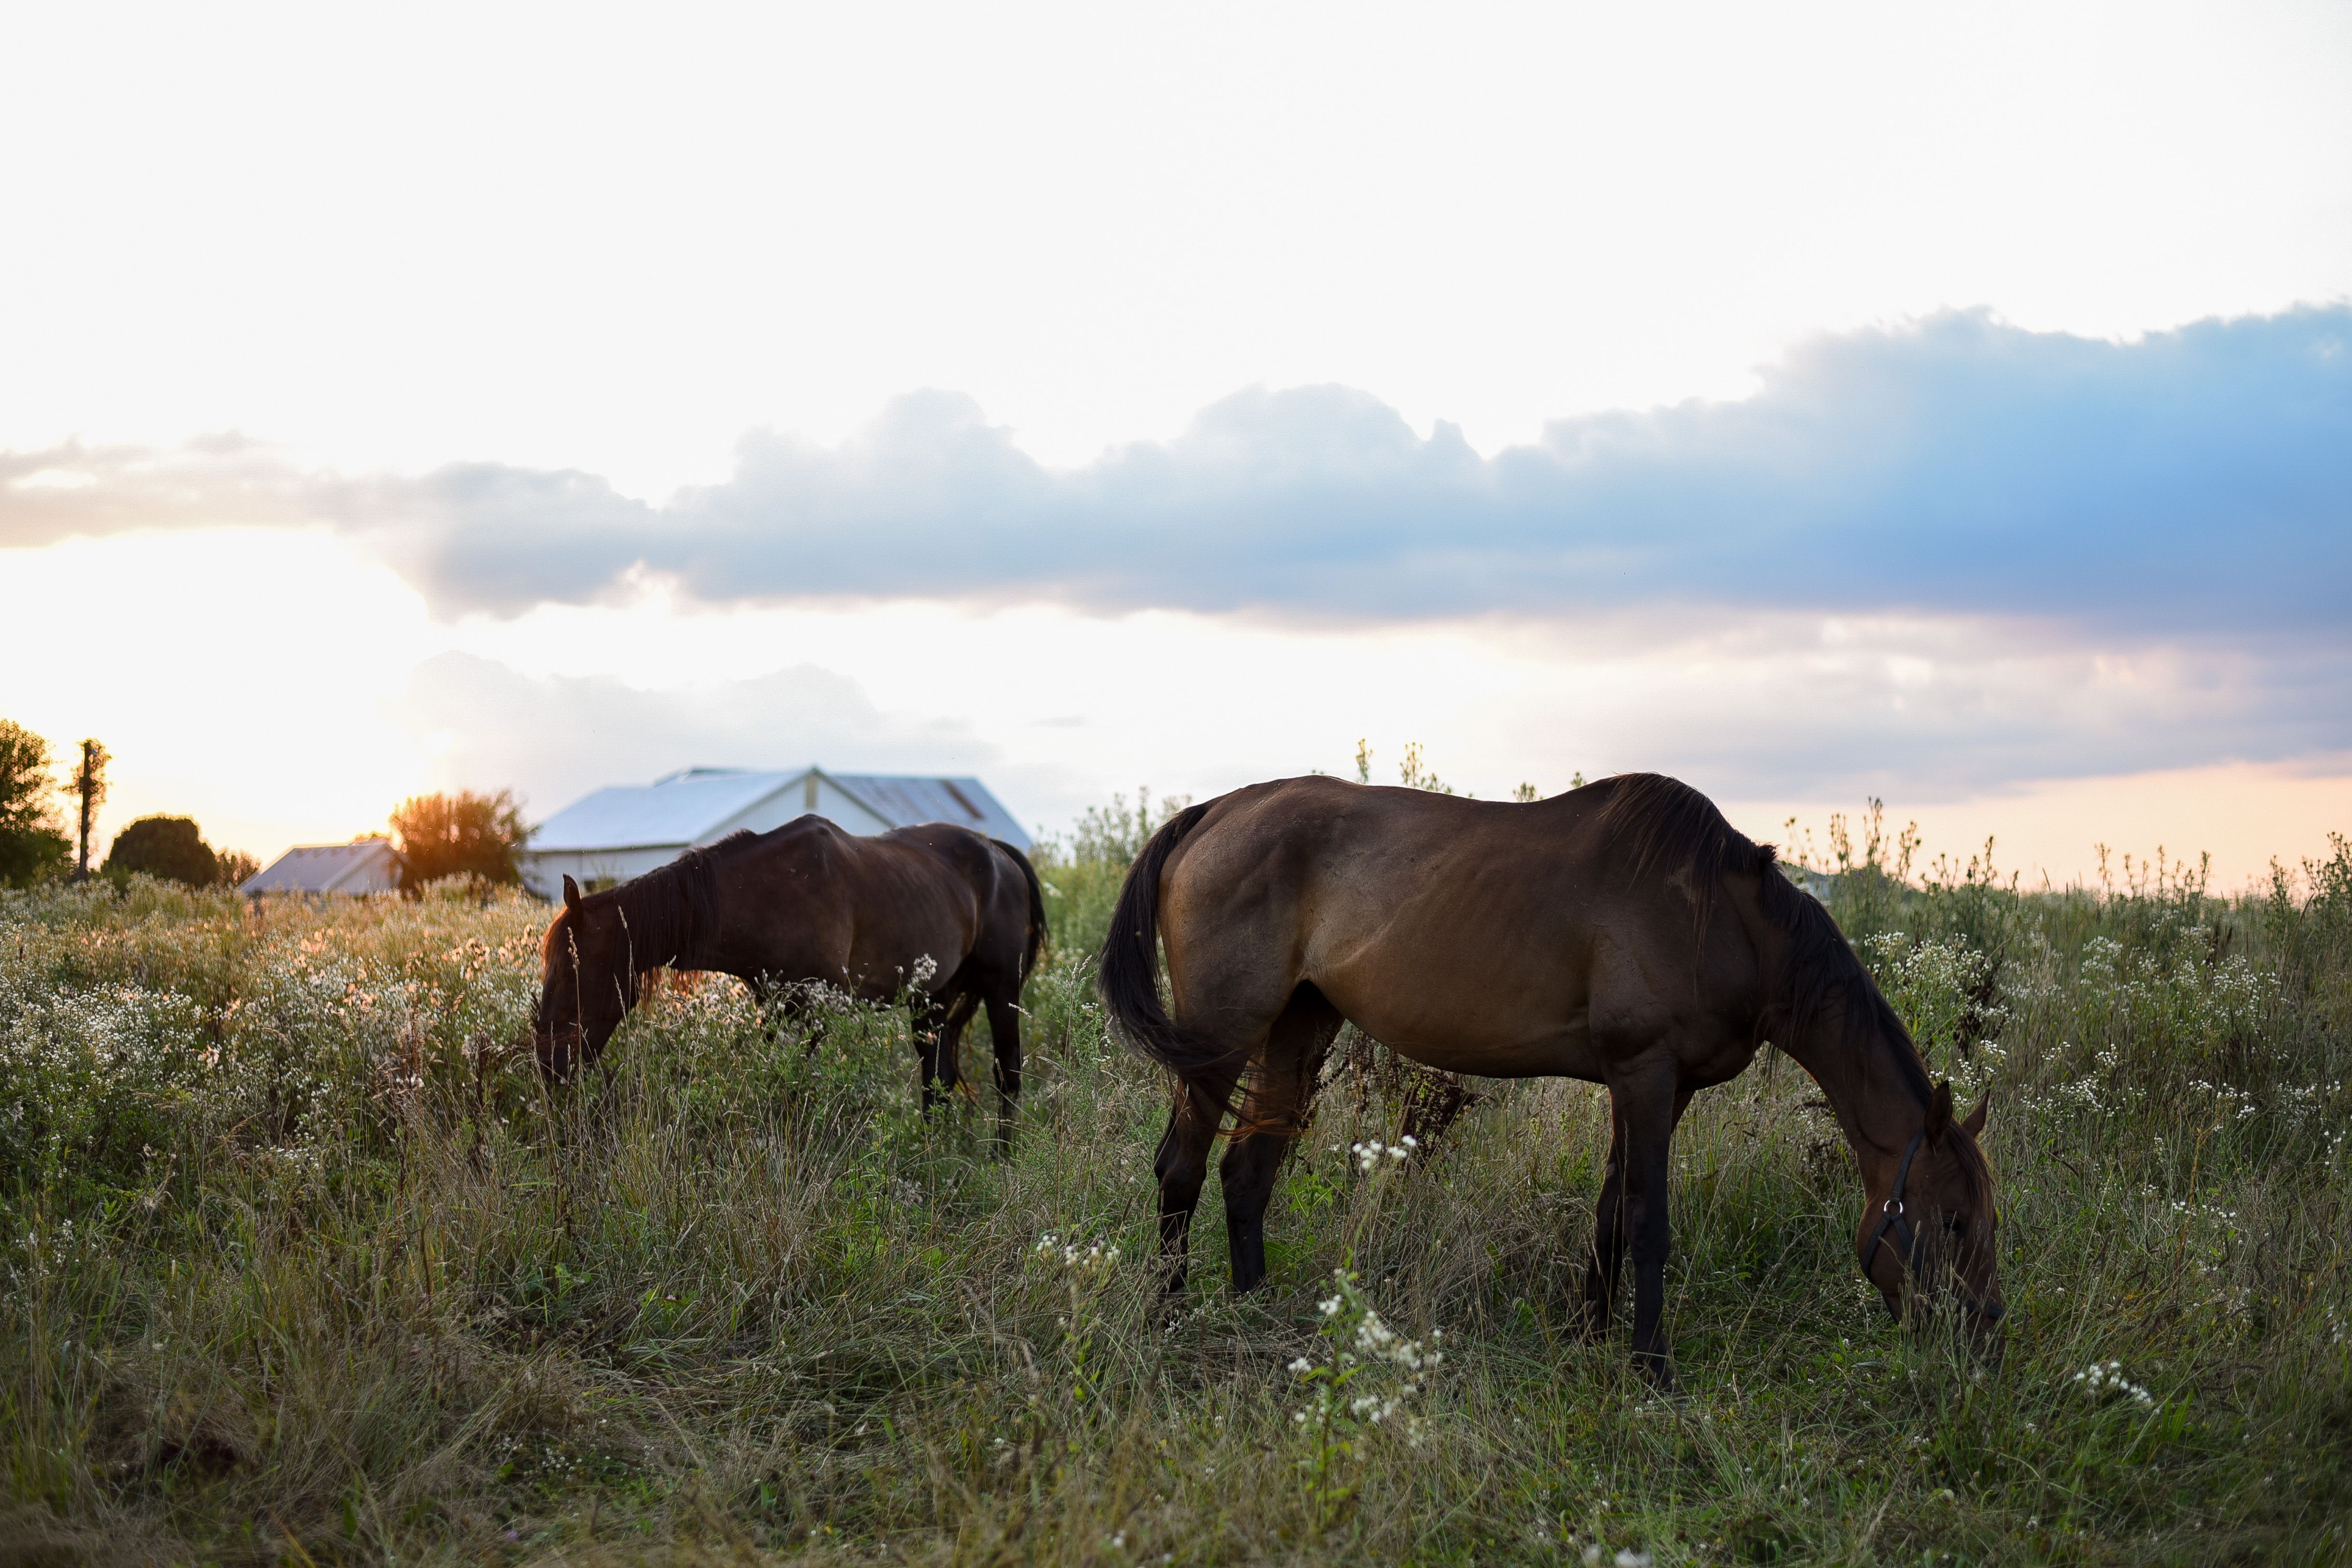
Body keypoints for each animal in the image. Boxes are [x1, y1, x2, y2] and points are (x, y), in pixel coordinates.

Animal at [532, 816, 1047, 1141]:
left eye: (574, 969)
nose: (548, 1065)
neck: (768, 892)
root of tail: (999, 854)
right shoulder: (774, 1006)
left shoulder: (815, 1010)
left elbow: (797, 1085)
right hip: (932, 999)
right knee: (936, 1081)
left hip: (1001, 991)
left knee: (1008, 1075)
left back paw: (1003, 1160)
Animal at [1099, 772, 2000, 1387]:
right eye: (1954, 1221)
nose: (1981, 1338)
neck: (1727, 921)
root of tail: (1213, 813)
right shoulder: (1645, 1073)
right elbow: (1649, 1223)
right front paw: (1650, 1367)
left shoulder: (1655, 1088)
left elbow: (1612, 1214)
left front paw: (1591, 1337)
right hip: (1222, 1038)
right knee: (1180, 1169)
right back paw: (1170, 1317)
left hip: (1299, 1026)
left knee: (1247, 1173)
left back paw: (1263, 1315)